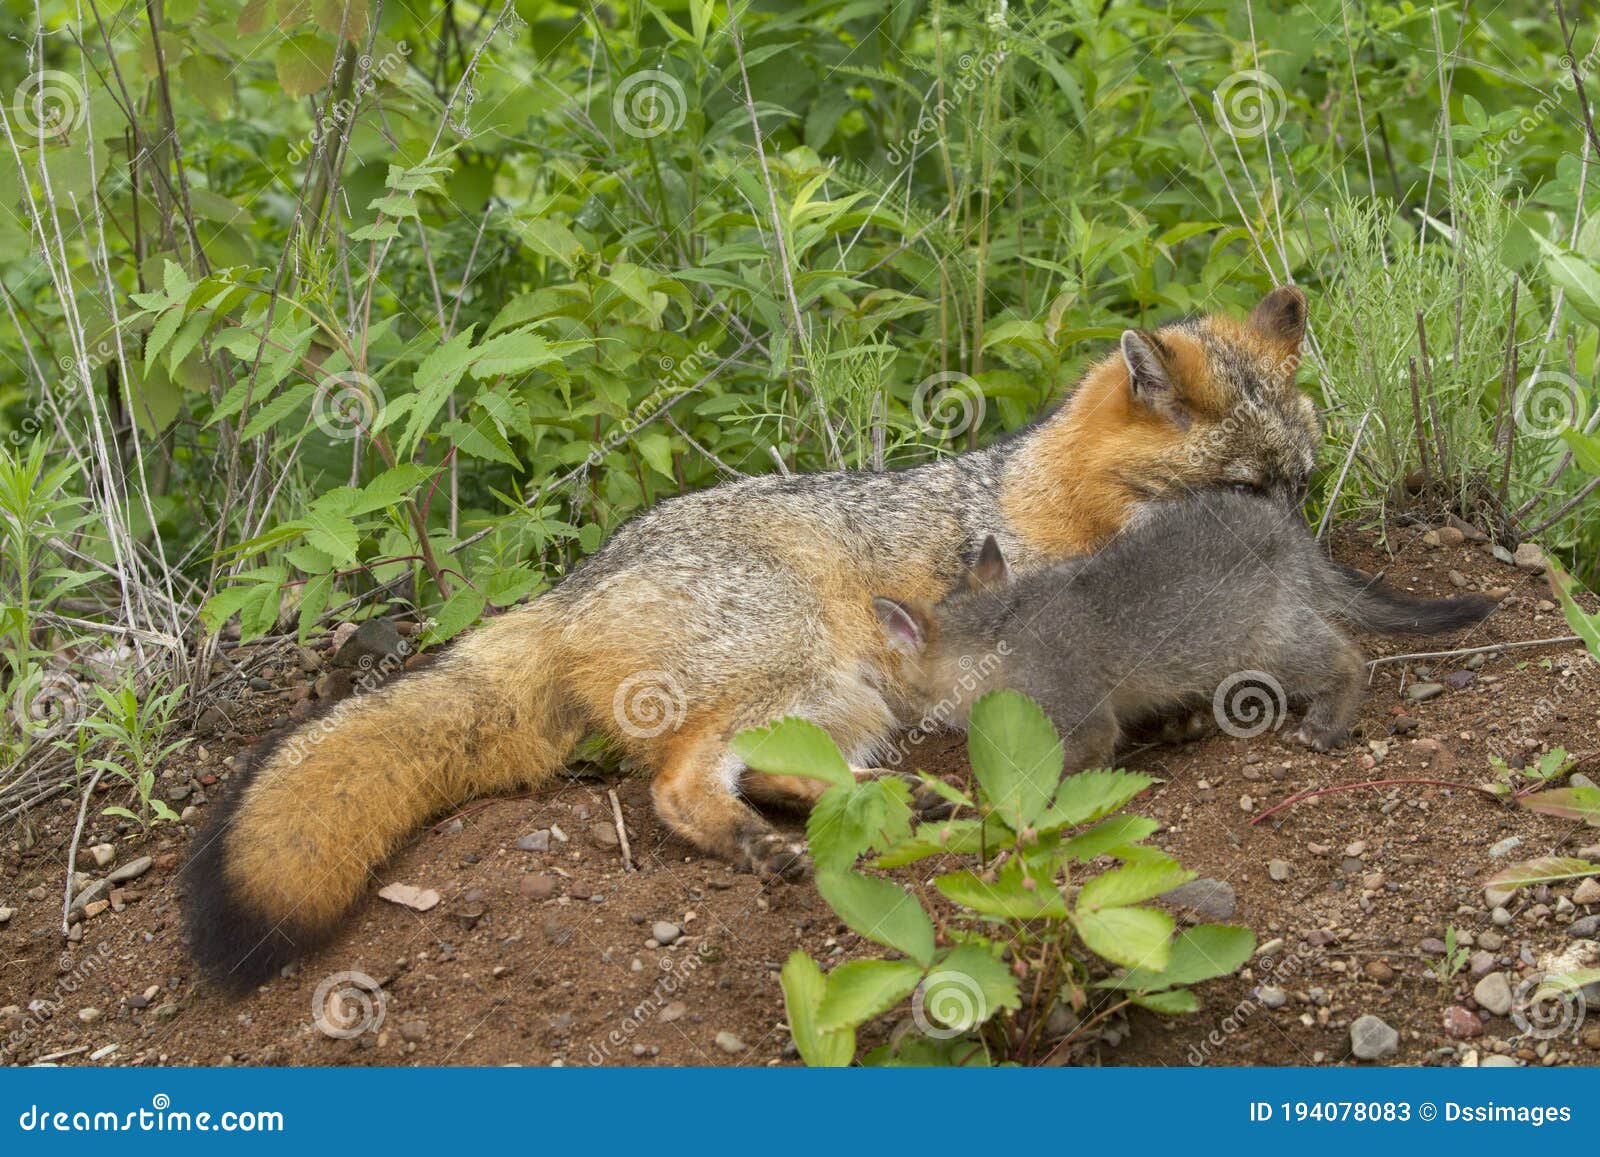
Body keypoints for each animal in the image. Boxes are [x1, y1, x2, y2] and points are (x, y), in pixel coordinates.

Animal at [187, 287, 1322, 988]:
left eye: (1298, 485)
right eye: (1241, 488)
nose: (1292, 545)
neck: (1040, 499)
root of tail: (568, 589)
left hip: (844, 698)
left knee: (777, 773)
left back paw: (884, 801)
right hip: (792, 662)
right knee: (678, 785)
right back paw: (756, 841)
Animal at [871, 488, 1499, 767]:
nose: (913, 719)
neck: (1001, 626)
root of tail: (1290, 528)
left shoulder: (1084, 719)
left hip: (1264, 645)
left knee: (1349, 655)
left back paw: (1324, 726)